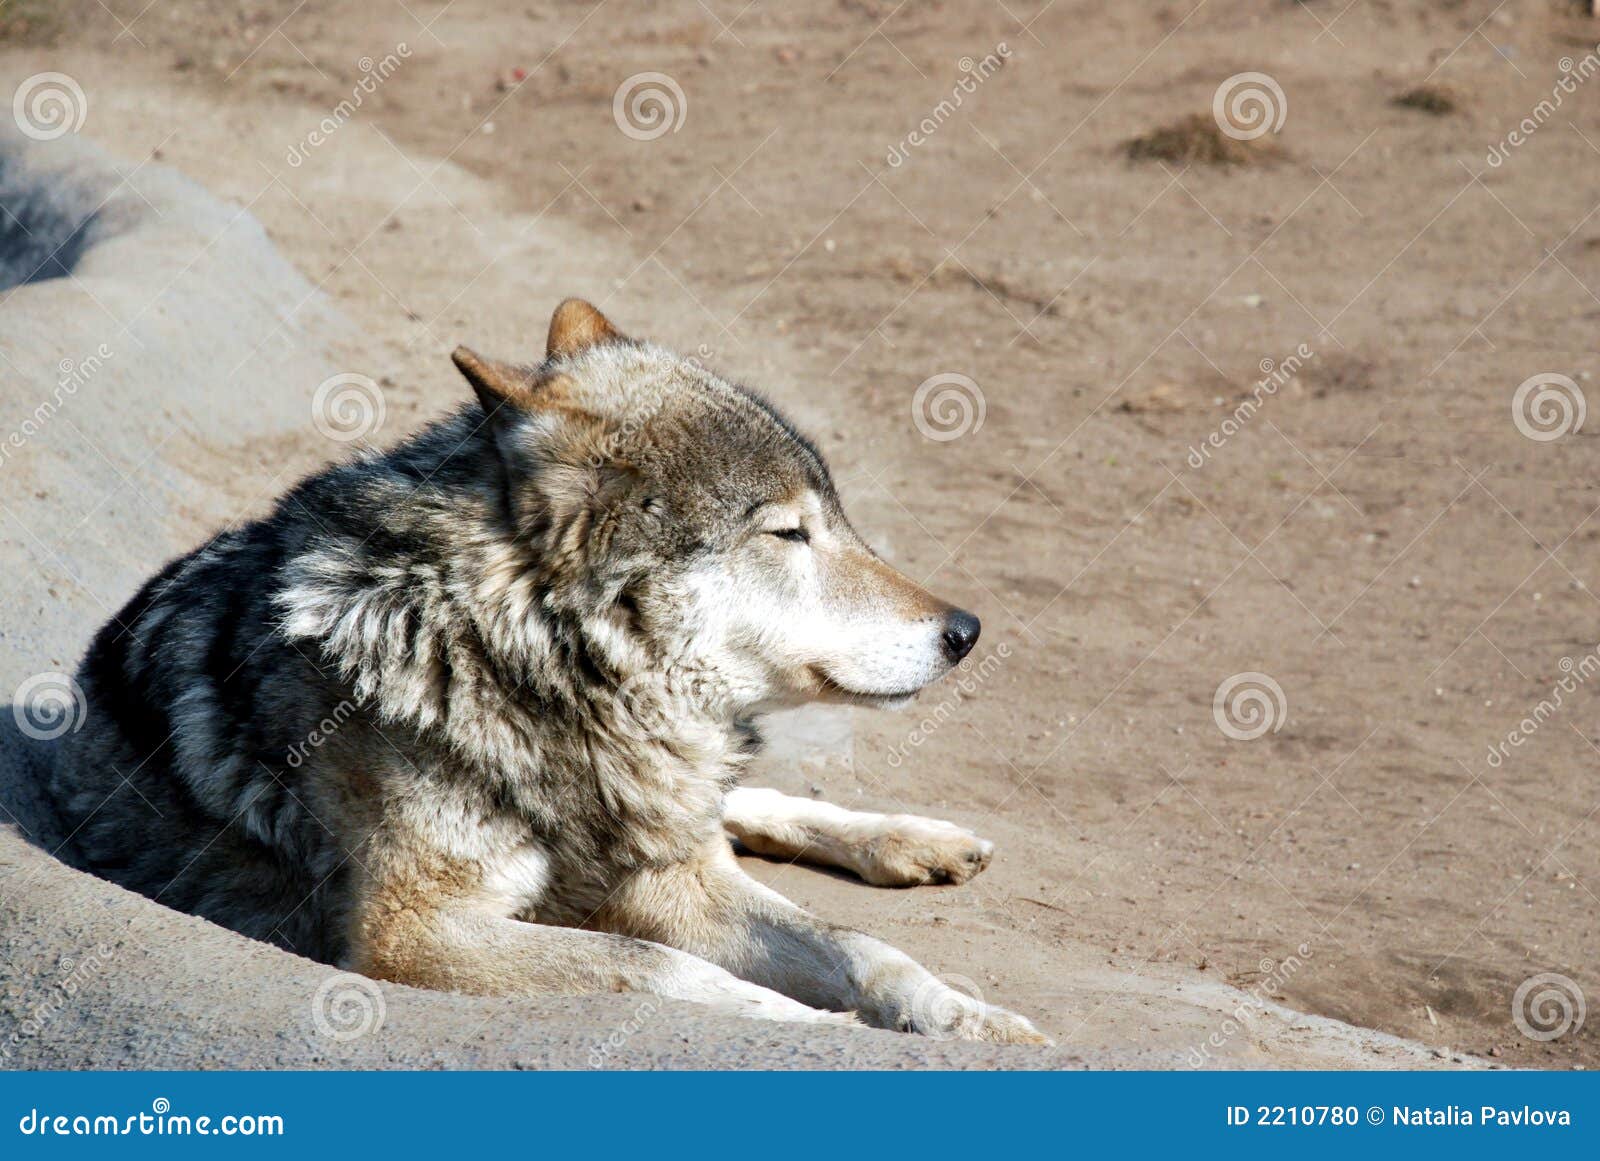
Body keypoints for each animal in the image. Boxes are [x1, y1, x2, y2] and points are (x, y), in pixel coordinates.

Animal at [50, 299, 1047, 1043]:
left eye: (835, 518)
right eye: (789, 532)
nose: (966, 630)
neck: (528, 670)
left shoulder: (673, 880)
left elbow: (864, 949)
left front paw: (966, 1017)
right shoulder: (410, 933)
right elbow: (653, 966)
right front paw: (818, 1028)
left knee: (747, 805)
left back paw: (916, 839)